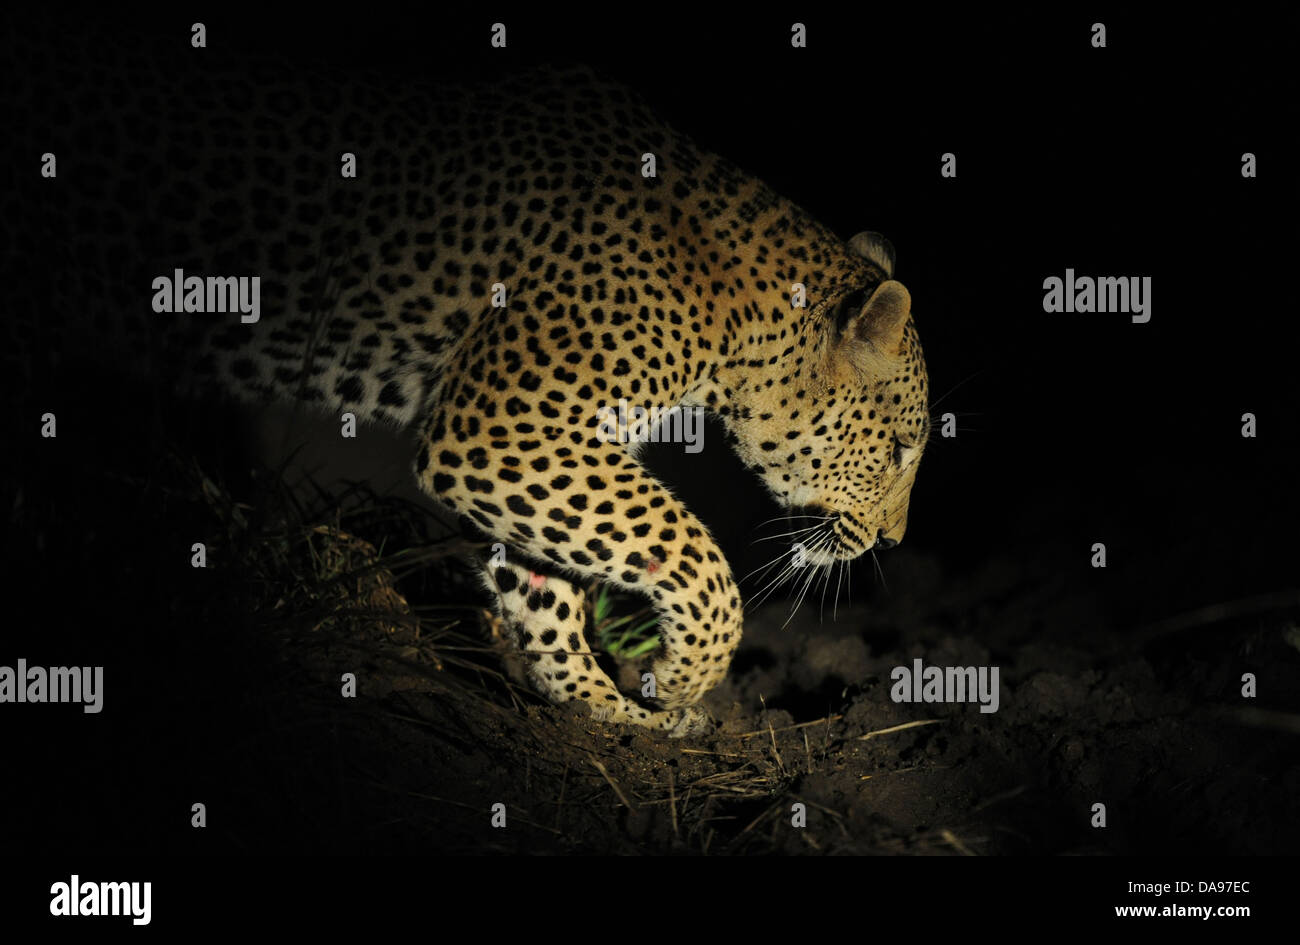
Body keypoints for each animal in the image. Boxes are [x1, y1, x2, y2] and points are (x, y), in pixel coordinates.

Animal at [7, 23, 931, 736]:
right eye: (895, 448)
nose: (892, 541)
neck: (729, 313)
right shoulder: (497, 429)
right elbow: (691, 550)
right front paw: (682, 672)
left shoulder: (543, 451)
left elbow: (547, 587)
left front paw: (603, 707)